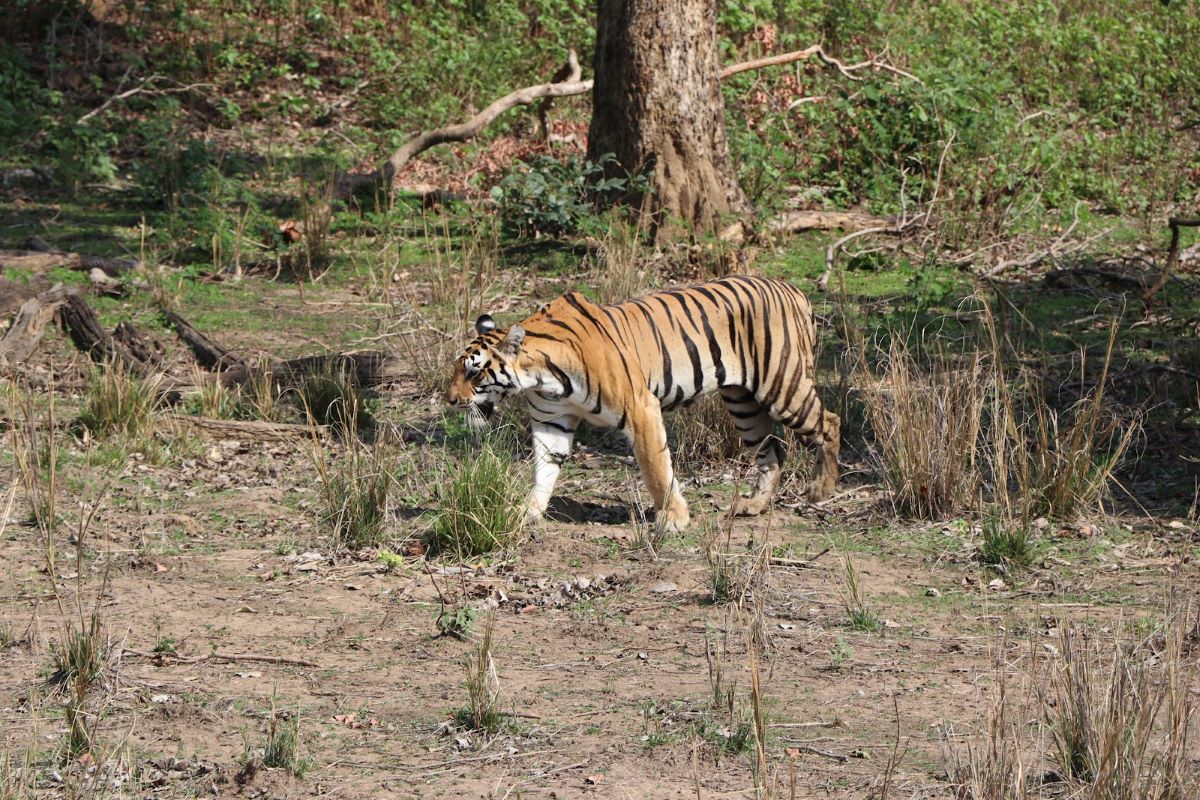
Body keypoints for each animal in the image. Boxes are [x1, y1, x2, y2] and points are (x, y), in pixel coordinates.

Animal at [445, 275, 840, 532]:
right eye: (456, 369)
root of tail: (794, 290)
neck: (542, 379)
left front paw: (674, 519)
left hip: (783, 385)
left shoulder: (640, 410)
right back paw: (753, 506)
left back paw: (821, 490)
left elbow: (656, 469)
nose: (450, 401)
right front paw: (524, 512)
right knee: (771, 449)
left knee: (829, 422)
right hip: (742, 401)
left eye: (474, 373)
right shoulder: (551, 422)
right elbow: (543, 471)